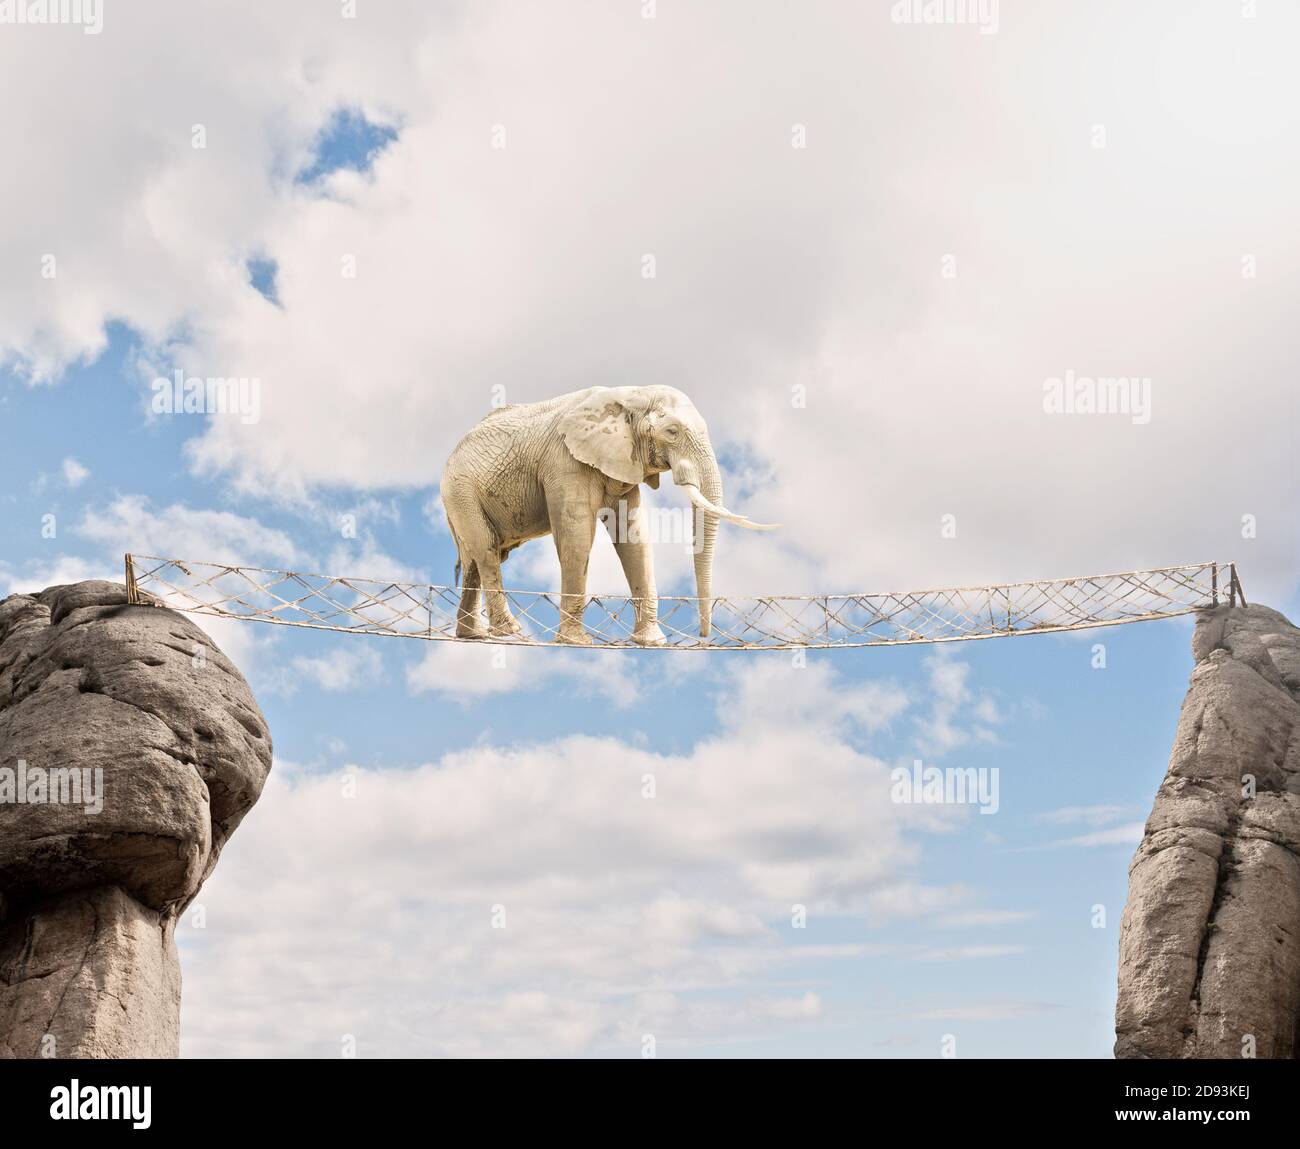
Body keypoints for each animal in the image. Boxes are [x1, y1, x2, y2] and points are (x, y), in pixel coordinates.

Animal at [441, 385, 776, 645]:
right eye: (672, 431)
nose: (704, 635)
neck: (631, 394)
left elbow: (634, 539)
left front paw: (650, 642)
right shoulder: (565, 462)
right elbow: (576, 539)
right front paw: (575, 642)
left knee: (476, 558)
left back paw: (474, 636)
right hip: (462, 490)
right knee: (486, 552)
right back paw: (509, 632)